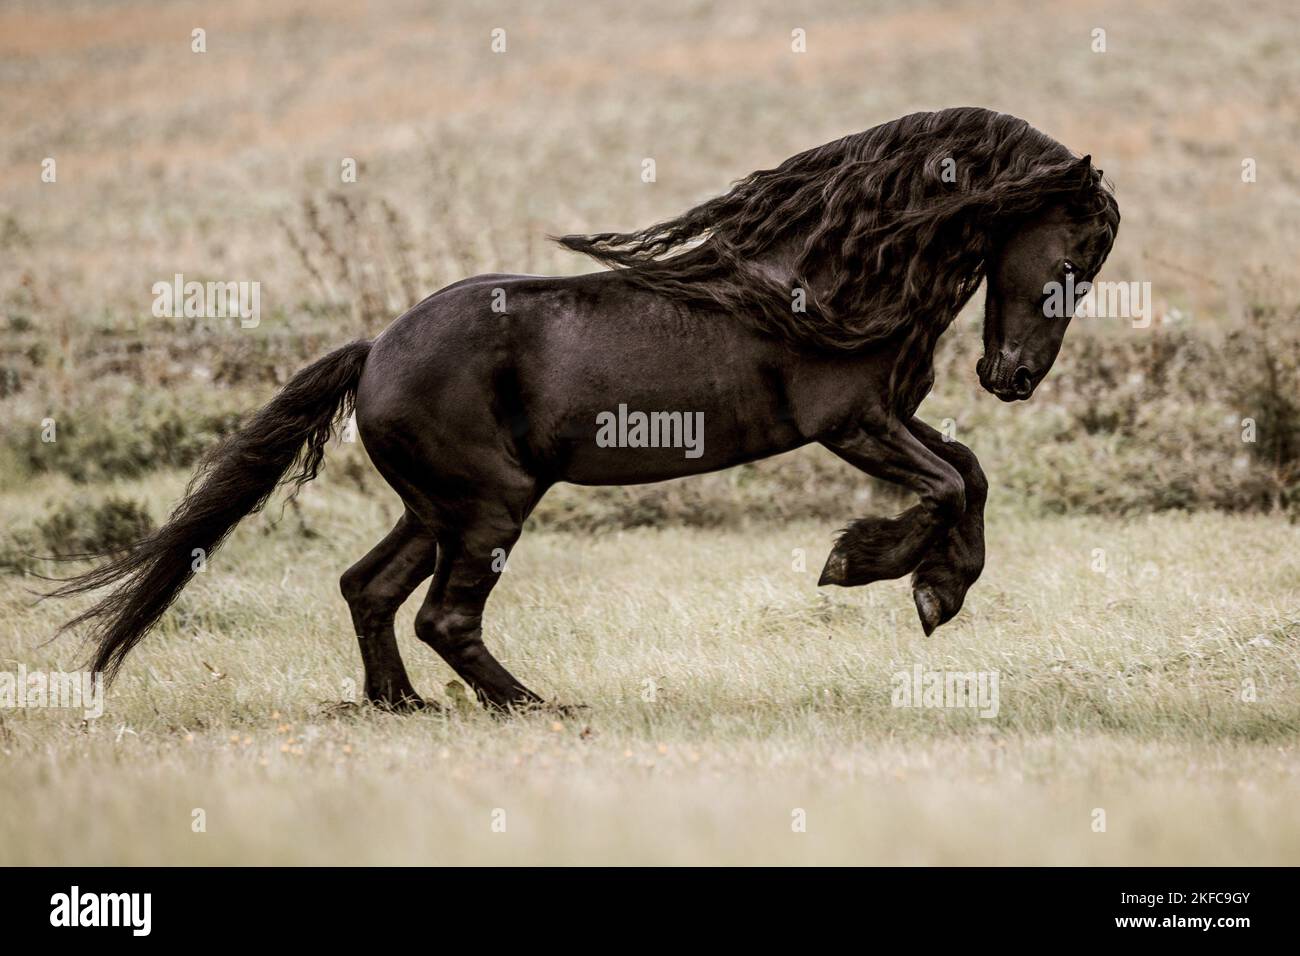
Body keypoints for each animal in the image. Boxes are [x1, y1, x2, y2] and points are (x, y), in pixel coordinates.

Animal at [53, 106, 1120, 713]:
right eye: (1077, 251)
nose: (1013, 377)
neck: (831, 277)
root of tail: (374, 353)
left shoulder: (887, 419)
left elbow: (970, 476)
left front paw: (934, 588)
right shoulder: (850, 423)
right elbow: (949, 485)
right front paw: (869, 565)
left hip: (439, 508)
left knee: (370, 589)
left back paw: (402, 708)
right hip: (490, 506)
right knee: (443, 616)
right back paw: (537, 707)